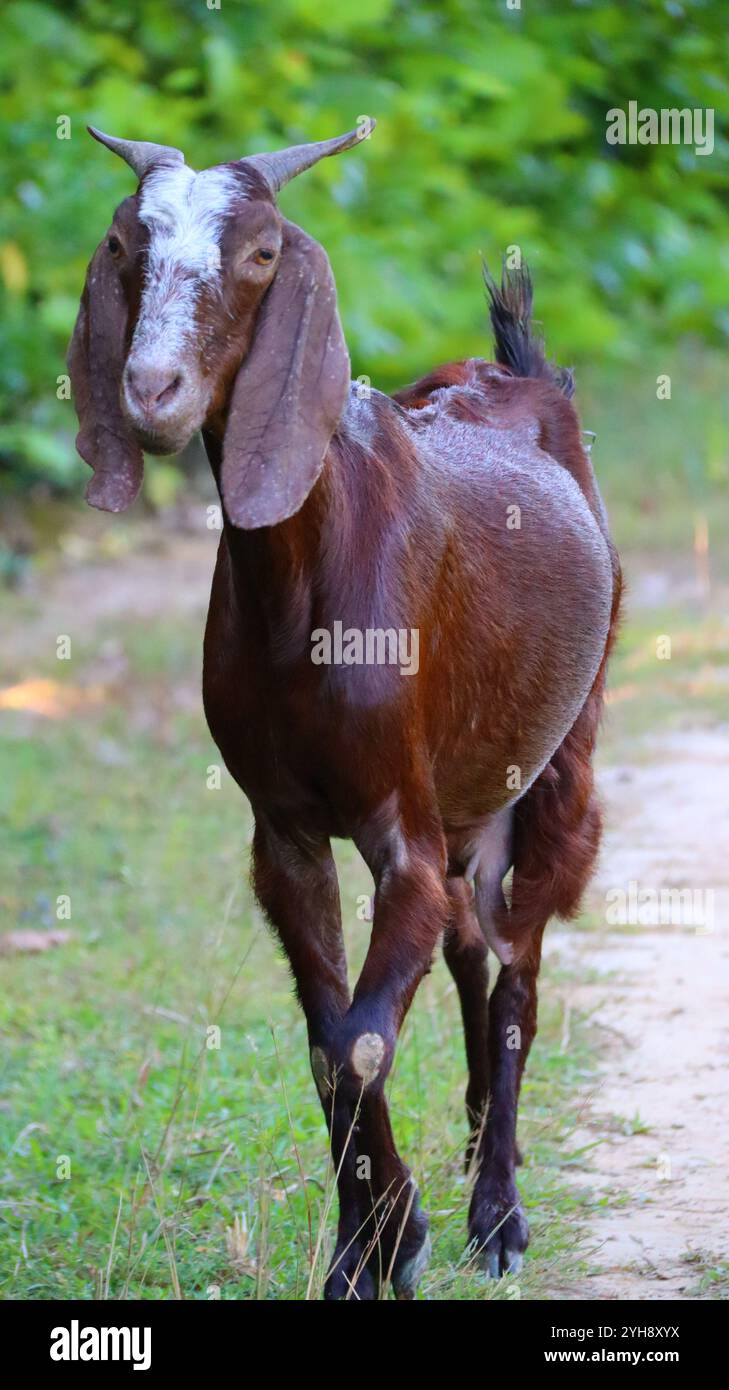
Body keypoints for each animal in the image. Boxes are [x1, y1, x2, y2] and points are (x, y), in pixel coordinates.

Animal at [69, 123, 622, 1300]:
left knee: (516, 961)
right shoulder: (282, 831)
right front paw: (370, 1249)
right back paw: (472, 1139)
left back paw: (500, 1213)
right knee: (471, 946)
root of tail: (519, 376)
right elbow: (327, 1040)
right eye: (127, 244)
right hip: (469, 792)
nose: (153, 388)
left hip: (562, 756)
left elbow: (363, 1037)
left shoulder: (397, 824)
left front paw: (402, 1240)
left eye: (261, 254)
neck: (301, 595)